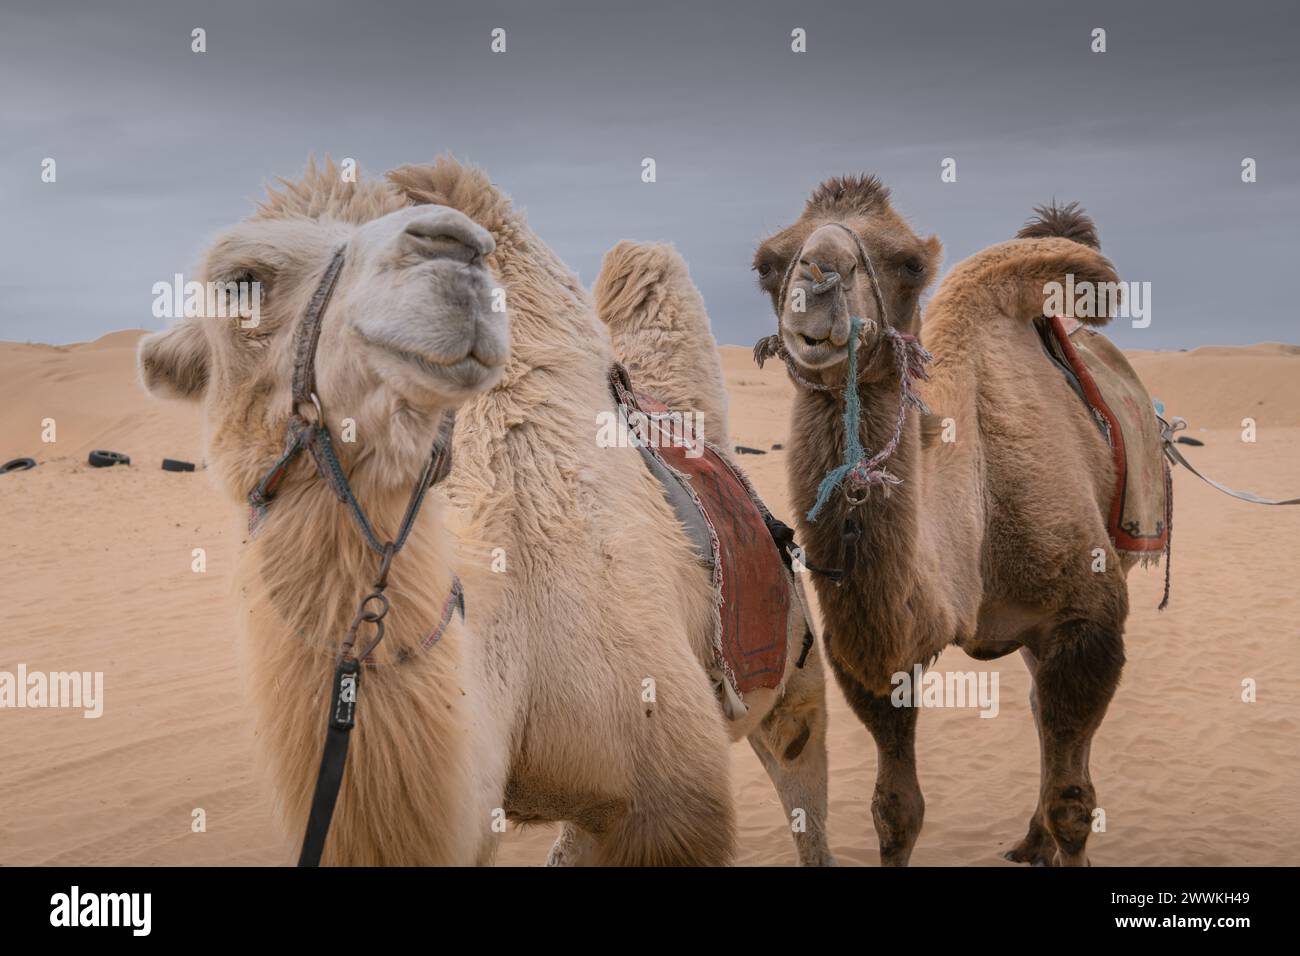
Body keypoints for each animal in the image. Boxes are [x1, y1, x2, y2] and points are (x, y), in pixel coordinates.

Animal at [753, 176, 1151, 866]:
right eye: (767, 266)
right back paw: (1029, 842)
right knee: (1036, 707)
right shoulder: (876, 658)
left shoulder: (1087, 621)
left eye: (911, 264)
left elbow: (1074, 805)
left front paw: (1061, 833)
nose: (818, 280)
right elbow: (895, 809)